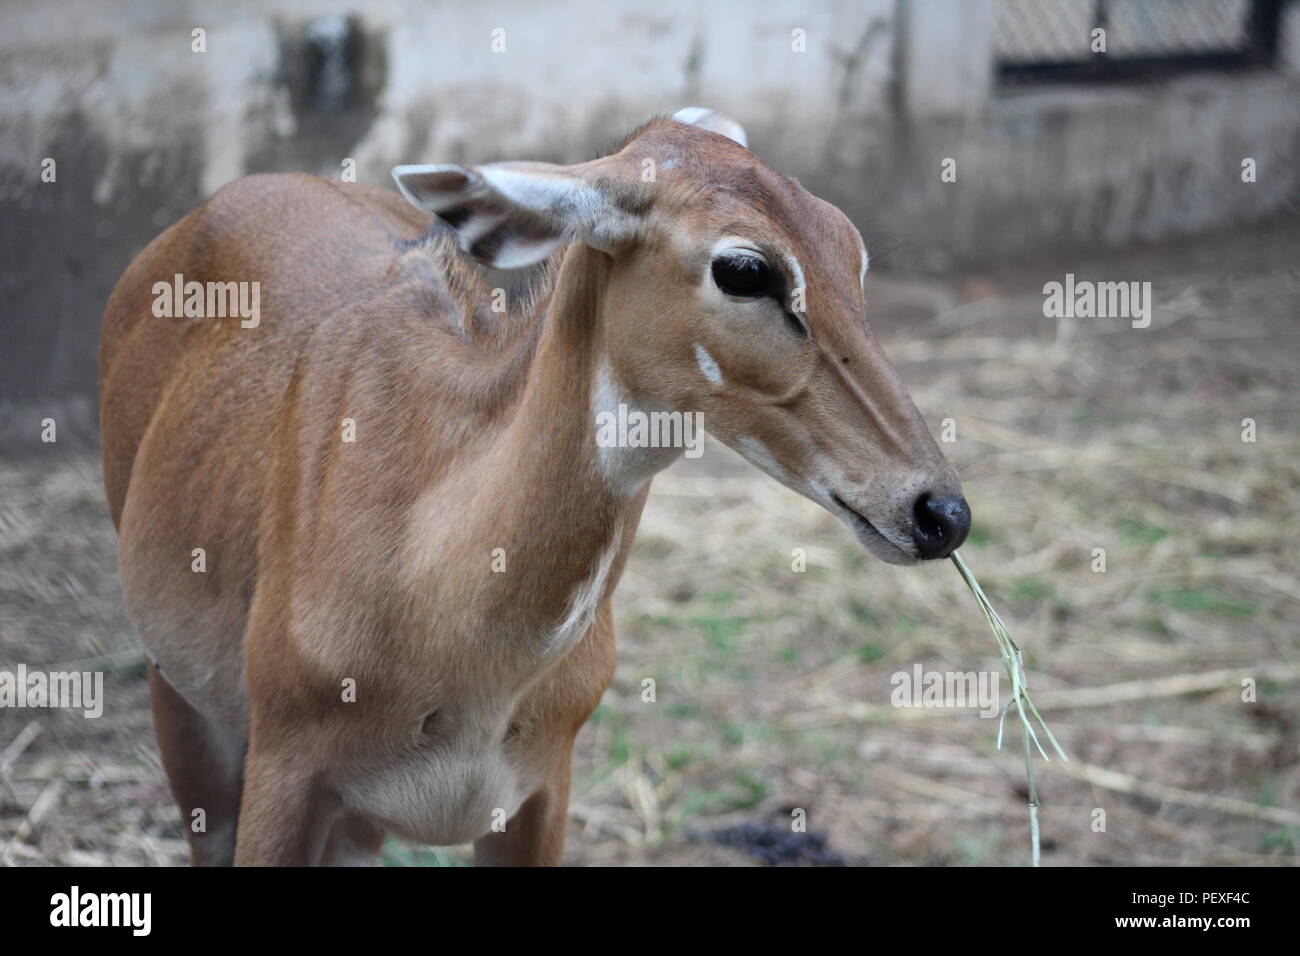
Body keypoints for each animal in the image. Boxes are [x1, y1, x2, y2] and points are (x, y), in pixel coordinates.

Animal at [99, 108, 970, 866]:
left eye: (850, 245)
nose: (940, 512)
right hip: (180, 694)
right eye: (746, 268)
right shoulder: (286, 764)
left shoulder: (538, 788)